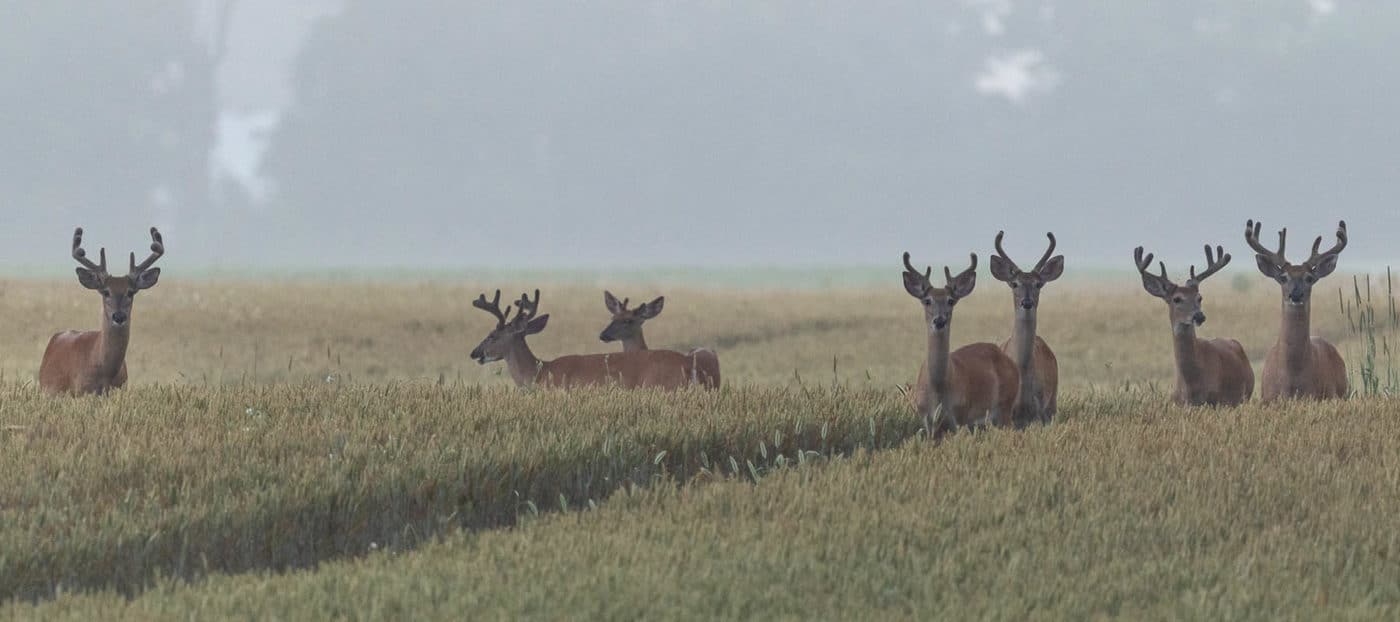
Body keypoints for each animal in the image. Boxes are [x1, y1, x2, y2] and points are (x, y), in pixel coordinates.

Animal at [901, 252, 1018, 436]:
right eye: (927, 300)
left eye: (951, 300)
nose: (939, 320)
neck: (938, 389)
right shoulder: (927, 421)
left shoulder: (959, 416)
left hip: (1005, 406)